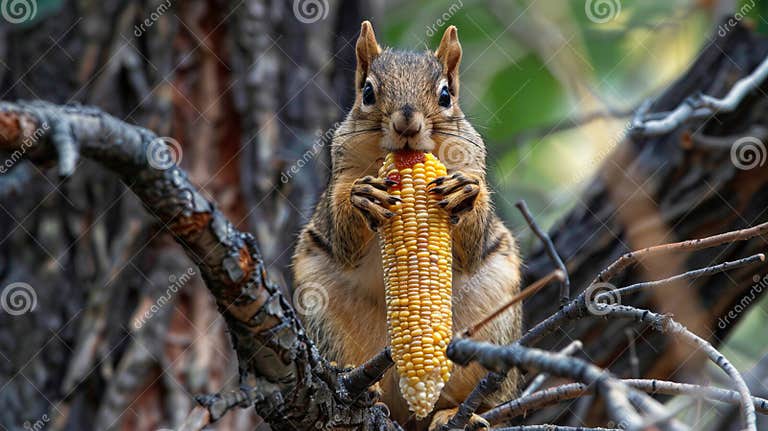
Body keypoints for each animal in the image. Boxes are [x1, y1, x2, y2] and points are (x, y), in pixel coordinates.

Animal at [292, 21, 522, 430]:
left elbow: (473, 243)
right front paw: (363, 197)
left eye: (446, 95)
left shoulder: (471, 160)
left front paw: (464, 193)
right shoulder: (342, 169)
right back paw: (361, 386)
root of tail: (412, 407)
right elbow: (342, 232)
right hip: (325, 314)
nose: (407, 122)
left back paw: (454, 414)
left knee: (486, 397)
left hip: (494, 324)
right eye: (367, 92)